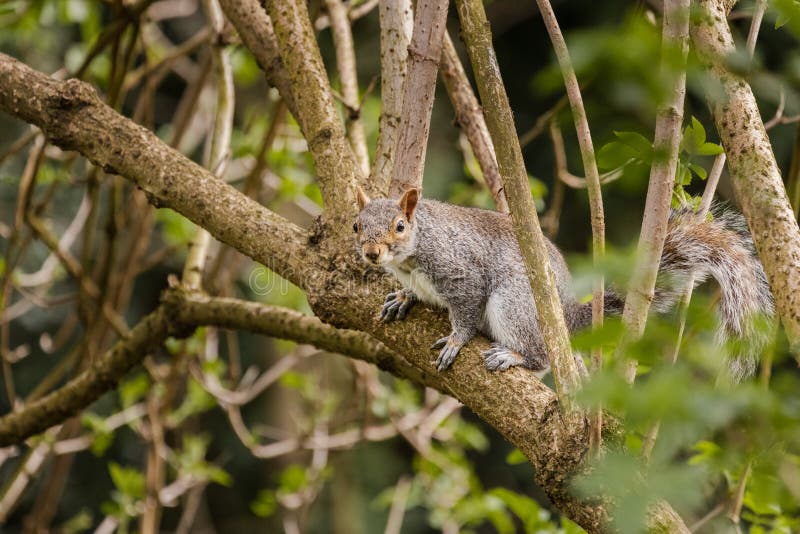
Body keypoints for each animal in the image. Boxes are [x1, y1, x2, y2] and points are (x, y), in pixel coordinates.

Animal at [353, 186, 775, 381]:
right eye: (357, 225)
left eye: (400, 226)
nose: (371, 253)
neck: (409, 259)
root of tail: (570, 318)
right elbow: (411, 291)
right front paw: (402, 297)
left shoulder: (461, 271)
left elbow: (467, 311)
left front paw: (456, 341)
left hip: (515, 303)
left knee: (541, 360)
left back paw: (514, 355)